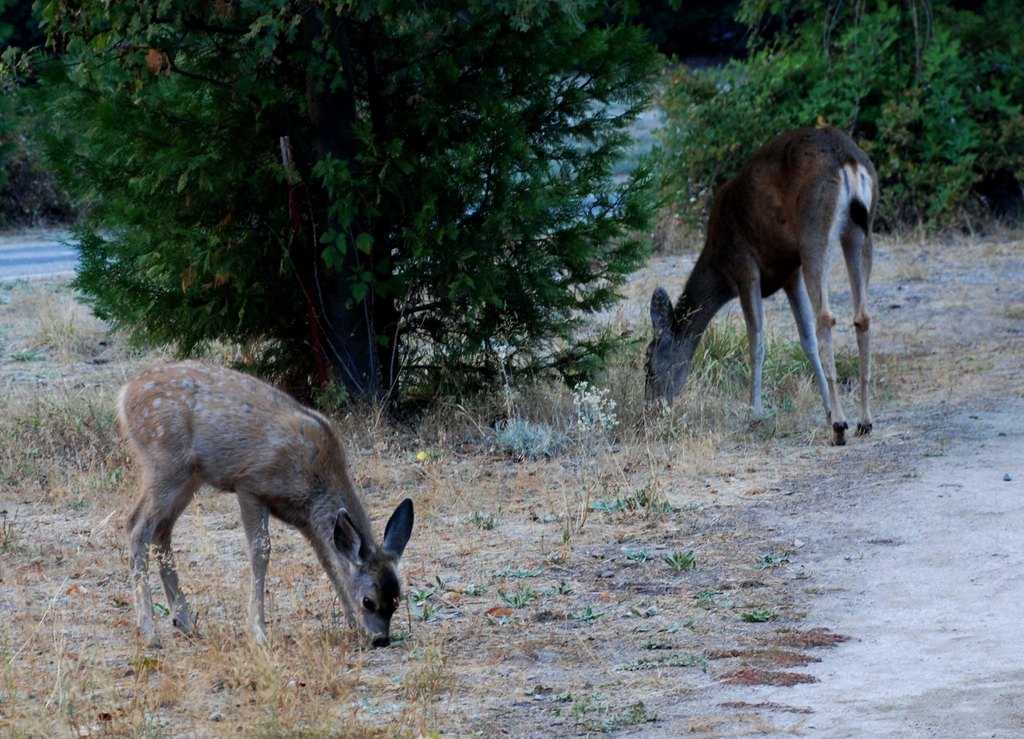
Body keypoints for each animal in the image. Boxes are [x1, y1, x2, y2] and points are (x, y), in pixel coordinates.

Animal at [116, 361, 414, 648]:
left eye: (397, 600)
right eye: (369, 601)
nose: (381, 639)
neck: (317, 480)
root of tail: (125, 393)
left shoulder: (306, 519)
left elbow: (327, 560)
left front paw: (352, 623)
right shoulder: (251, 485)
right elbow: (261, 551)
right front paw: (258, 631)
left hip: (189, 477)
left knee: (162, 530)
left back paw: (184, 621)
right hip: (165, 460)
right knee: (136, 526)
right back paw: (149, 632)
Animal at [646, 126, 878, 445]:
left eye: (648, 360)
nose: (650, 409)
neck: (717, 264)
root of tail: (848, 161)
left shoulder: (744, 268)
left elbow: (755, 342)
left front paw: (753, 414)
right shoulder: (789, 273)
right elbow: (806, 341)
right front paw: (827, 408)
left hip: (813, 230)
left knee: (826, 317)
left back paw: (840, 427)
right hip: (860, 230)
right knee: (862, 315)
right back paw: (864, 422)